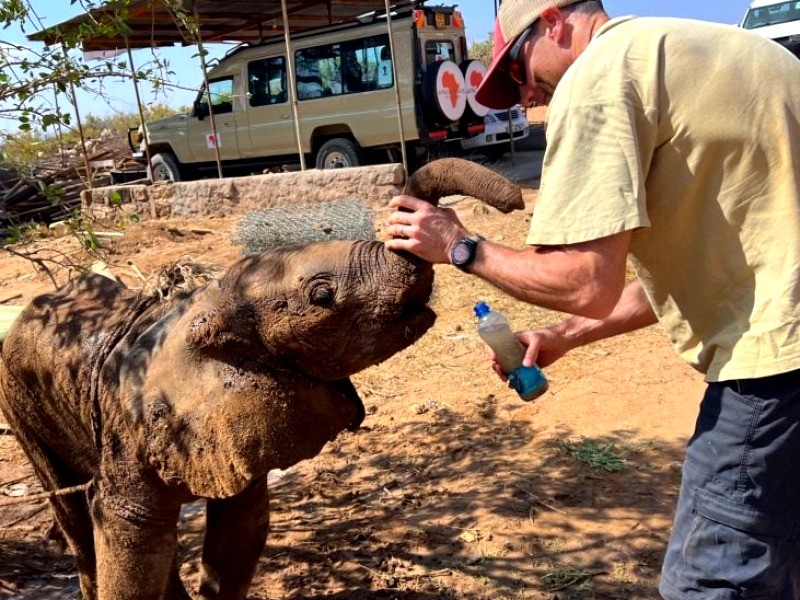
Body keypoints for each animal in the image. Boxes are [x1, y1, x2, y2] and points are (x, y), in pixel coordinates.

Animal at [0, 158, 523, 600]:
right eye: (321, 295)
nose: (516, 202)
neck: (202, 306)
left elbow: (241, 528)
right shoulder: (131, 431)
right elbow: (128, 536)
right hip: (19, 401)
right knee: (74, 515)